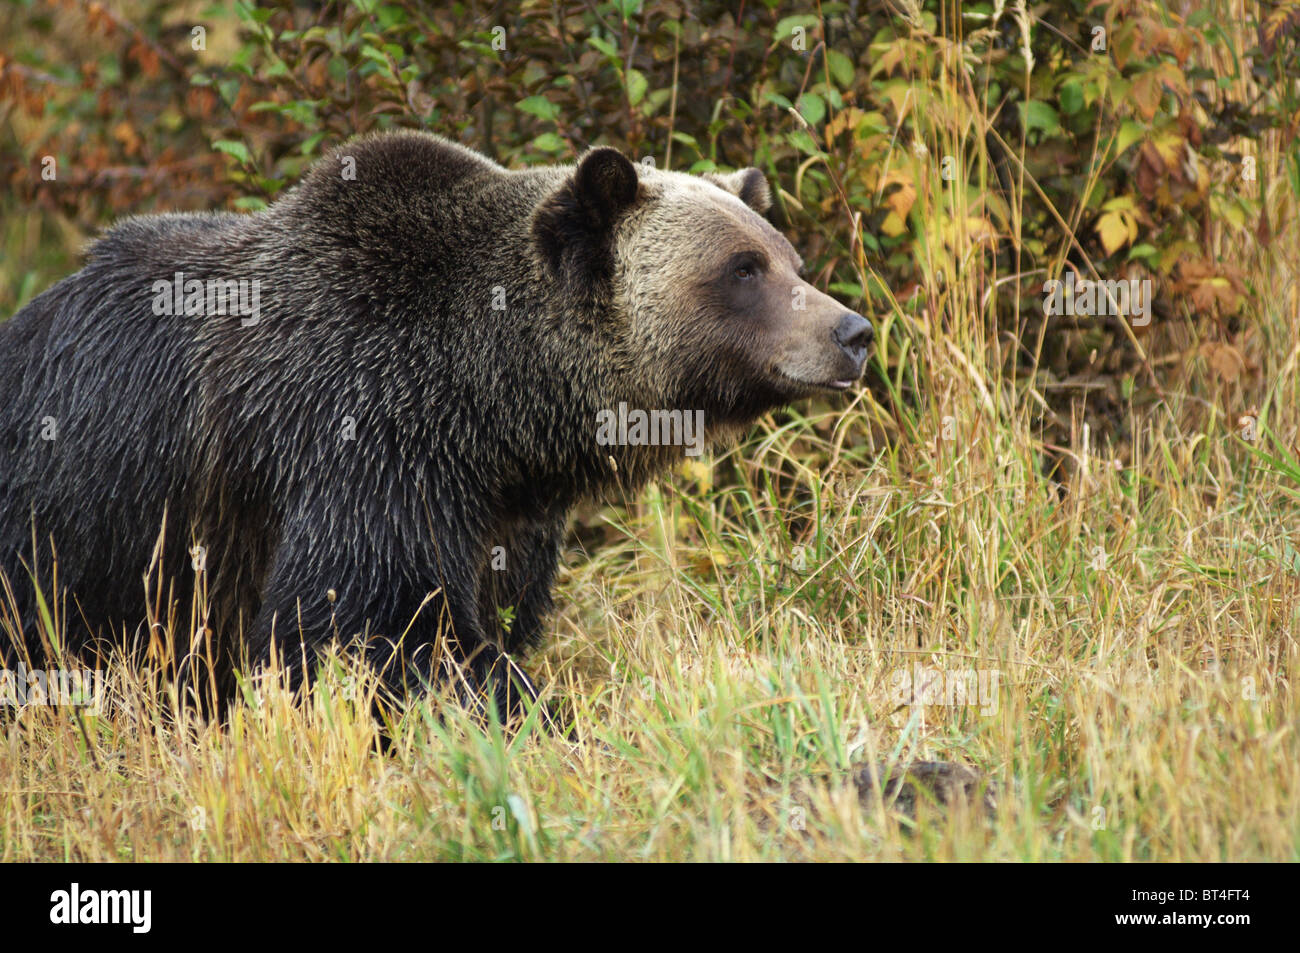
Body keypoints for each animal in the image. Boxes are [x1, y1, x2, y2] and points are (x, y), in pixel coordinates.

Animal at [0, 130, 872, 719]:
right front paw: (534, 714)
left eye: (788, 257)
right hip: (73, 515)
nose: (853, 331)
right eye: (742, 267)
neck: (491, 403)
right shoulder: (364, 442)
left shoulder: (501, 511)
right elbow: (375, 623)